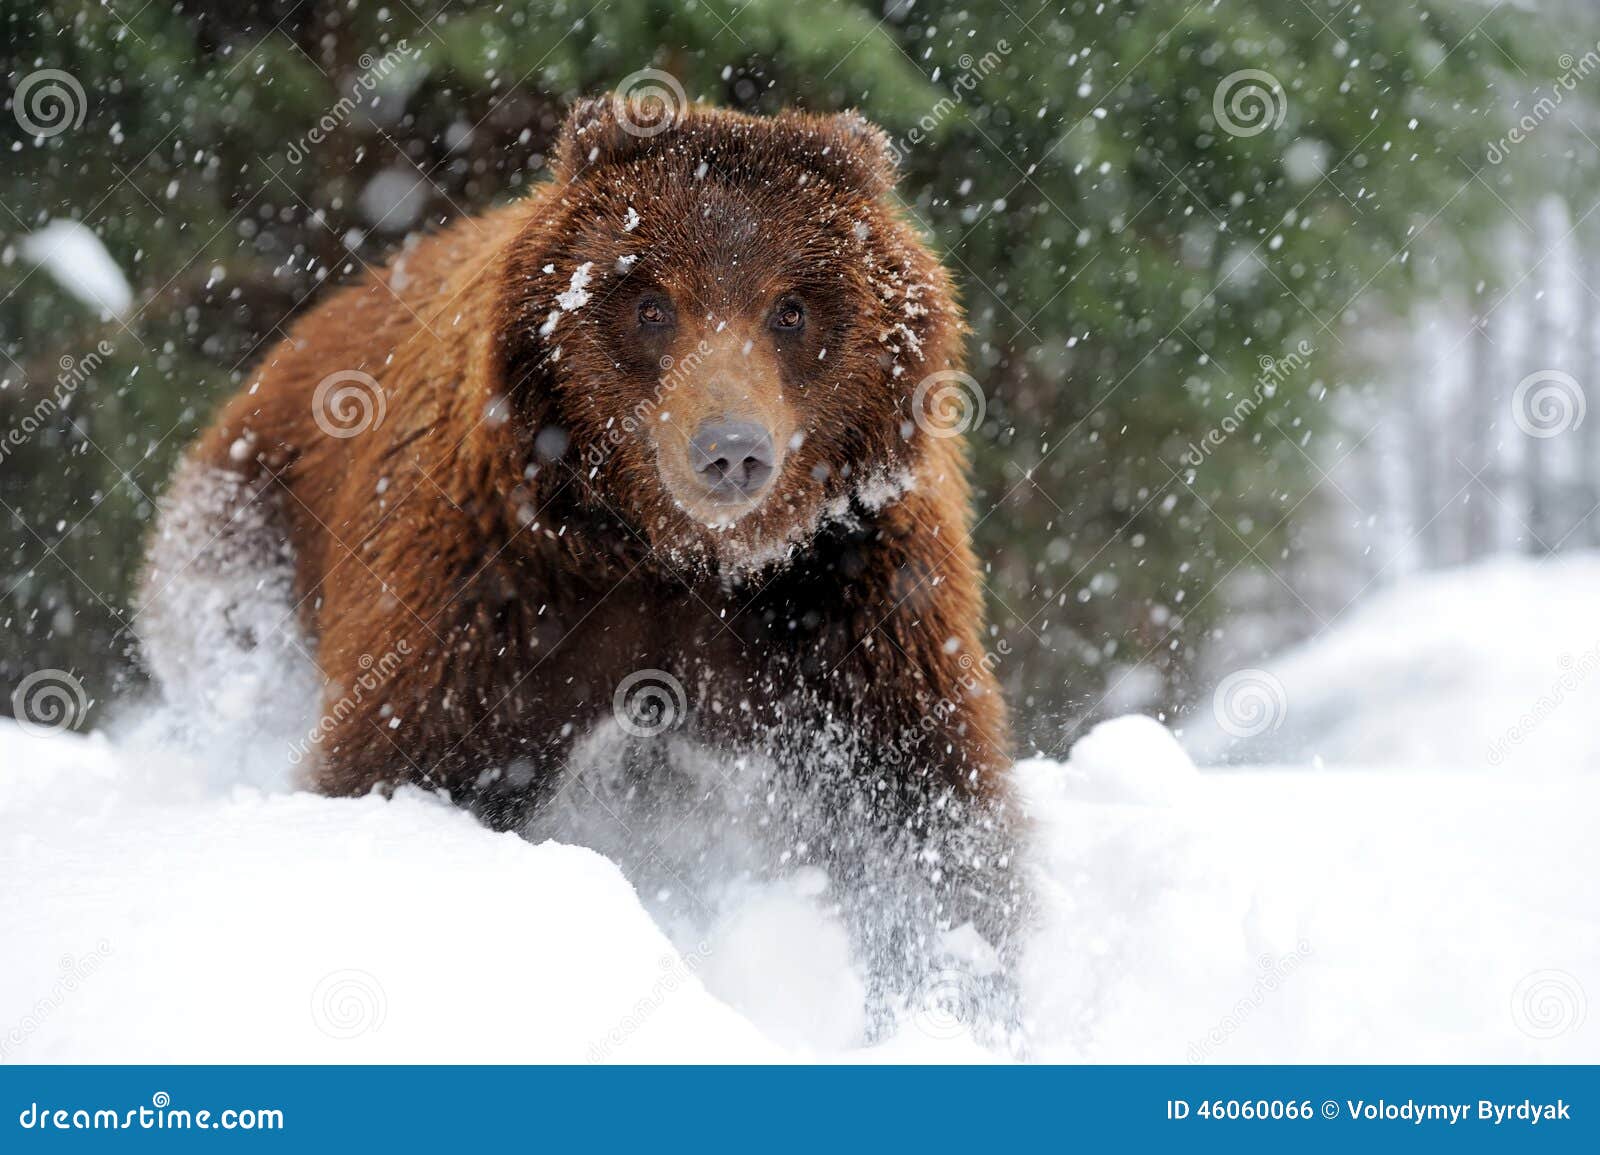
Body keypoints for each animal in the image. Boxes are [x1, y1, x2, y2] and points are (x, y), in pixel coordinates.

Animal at [141, 96, 1022, 1030]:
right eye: (653, 304)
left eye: (790, 307)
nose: (731, 450)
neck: (678, 557)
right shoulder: (501, 585)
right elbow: (405, 755)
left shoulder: (846, 601)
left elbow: (919, 828)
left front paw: (950, 995)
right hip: (245, 528)